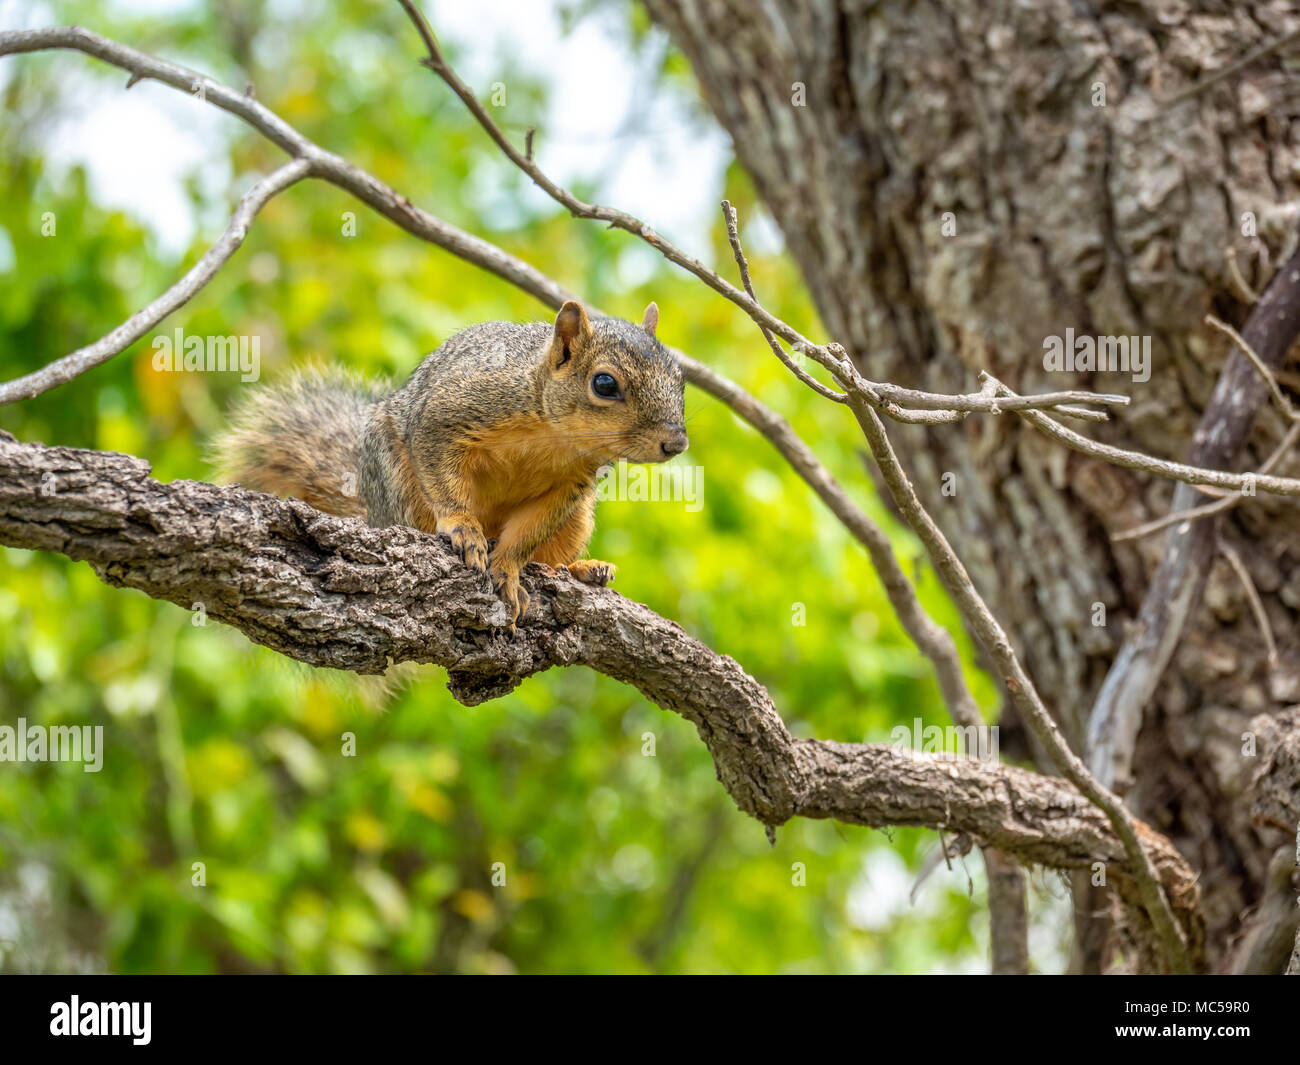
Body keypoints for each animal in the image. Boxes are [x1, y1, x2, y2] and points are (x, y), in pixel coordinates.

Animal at [212, 300, 688, 624]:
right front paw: (463, 528)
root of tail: (374, 516)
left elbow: (528, 535)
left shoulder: (573, 486)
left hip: (578, 519)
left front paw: (507, 571)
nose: (677, 443)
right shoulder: (451, 413)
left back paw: (584, 570)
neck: (554, 434)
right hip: (396, 480)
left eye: (681, 378)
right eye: (604, 384)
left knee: (551, 556)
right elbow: (440, 469)